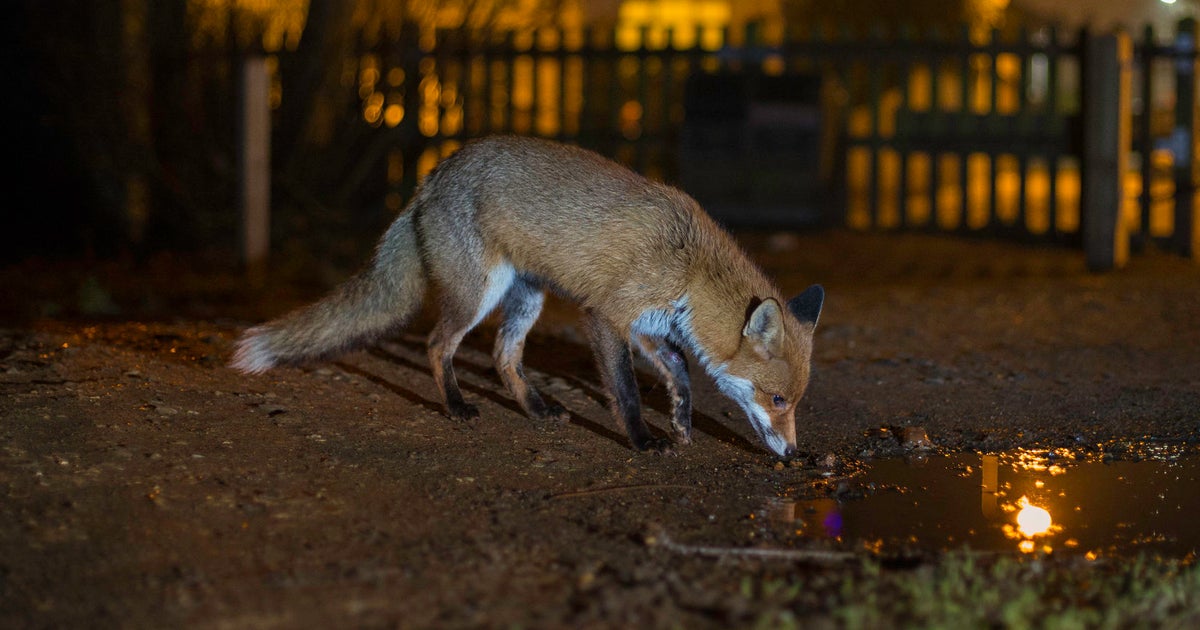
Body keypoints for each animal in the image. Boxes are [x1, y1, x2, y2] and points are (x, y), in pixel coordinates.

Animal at [231, 136, 824, 458]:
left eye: (794, 403)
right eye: (778, 400)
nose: (794, 453)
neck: (692, 269)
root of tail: (431, 177)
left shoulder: (648, 324)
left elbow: (678, 368)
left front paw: (681, 422)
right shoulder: (606, 316)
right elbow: (627, 392)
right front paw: (641, 439)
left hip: (526, 299)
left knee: (502, 355)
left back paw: (536, 407)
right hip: (478, 294)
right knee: (436, 344)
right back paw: (456, 406)